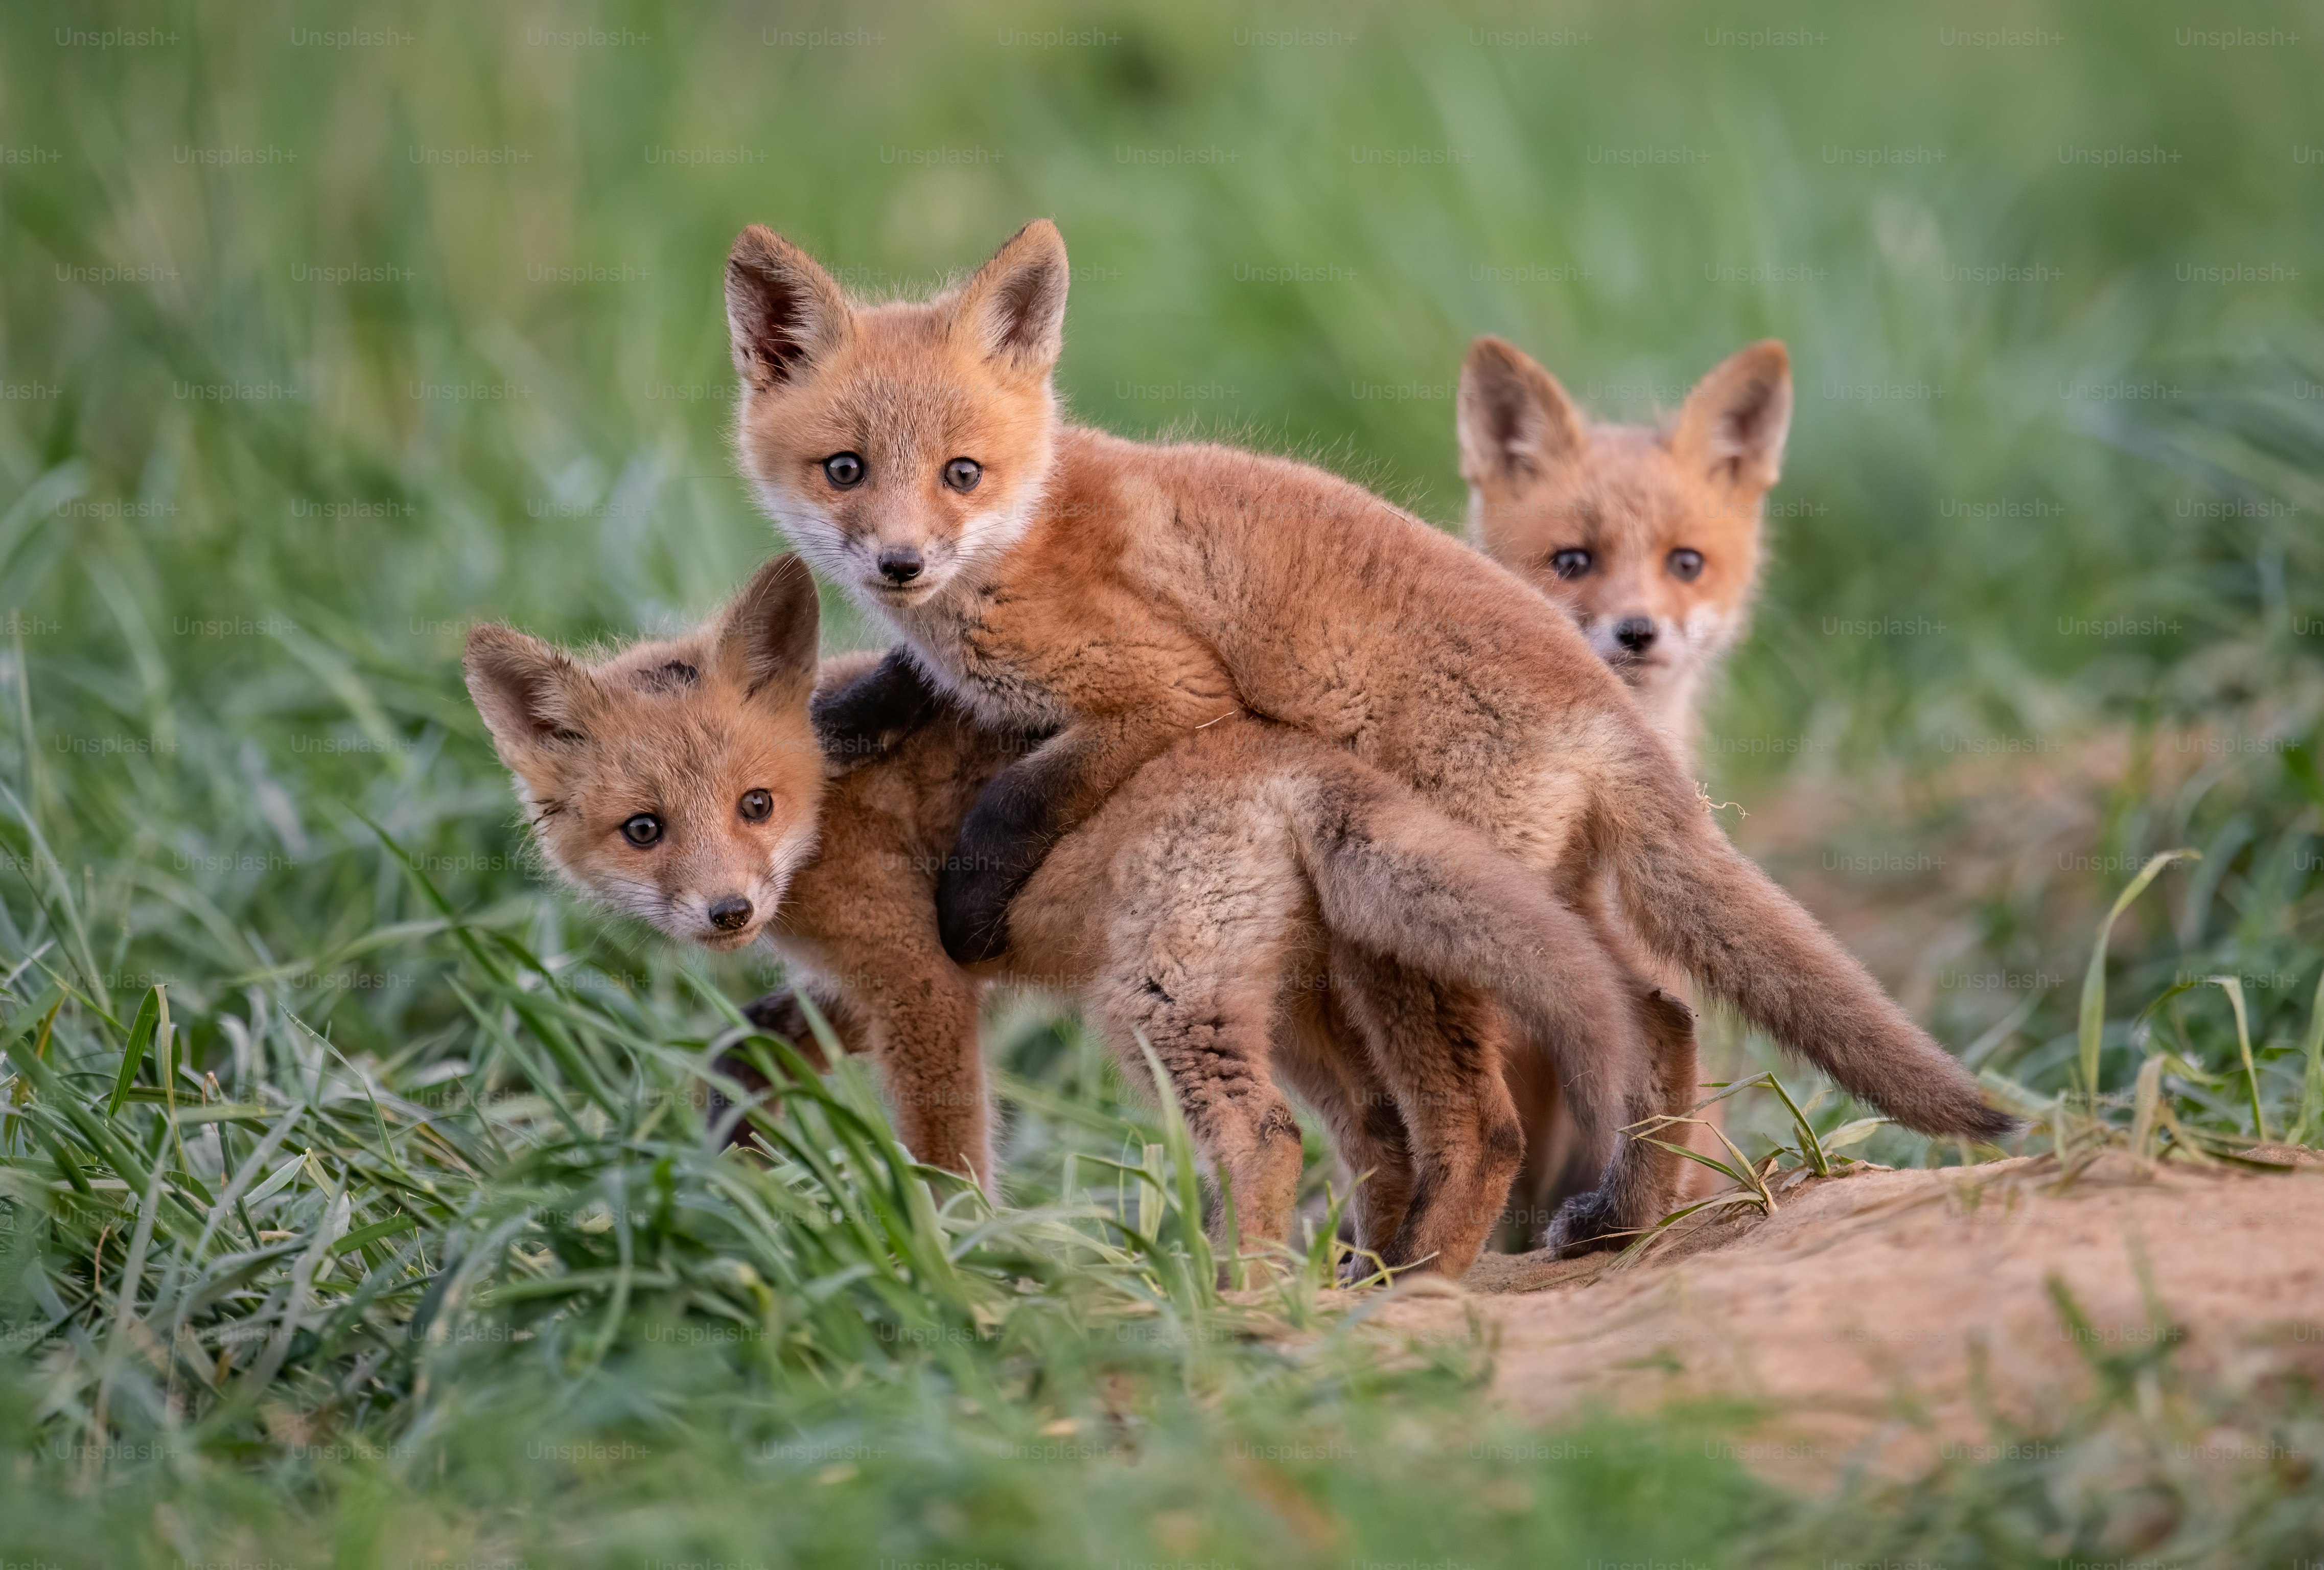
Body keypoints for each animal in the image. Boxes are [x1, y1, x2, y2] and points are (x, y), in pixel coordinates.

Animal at [464, 555, 1688, 1278]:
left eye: (754, 805)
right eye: (643, 830)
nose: (727, 910)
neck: (830, 797)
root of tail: (1289, 753)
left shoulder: (920, 978)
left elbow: (948, 1149)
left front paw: (950, 1255)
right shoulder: (892, 978)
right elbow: (751, 1043)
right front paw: (731, 1168)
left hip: (1162, 1000)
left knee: (1286, 1136)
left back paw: (1251, 1295)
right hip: (1292, 1002)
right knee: (1399, 1128)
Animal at [718, 218, 2017, 1251]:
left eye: (961, 472)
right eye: (844, 469)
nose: (899, 561)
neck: (1025, 527)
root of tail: (1607, 703)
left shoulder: (1166, 688)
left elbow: (1019, 799)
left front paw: (969, 893)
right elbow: (914, 692)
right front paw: (842, 716)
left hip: (1402, 926)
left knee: (1515, 1095)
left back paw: (1429, 1265)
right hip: (1520, 899)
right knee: (1652, 1009)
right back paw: (1606, 1218)